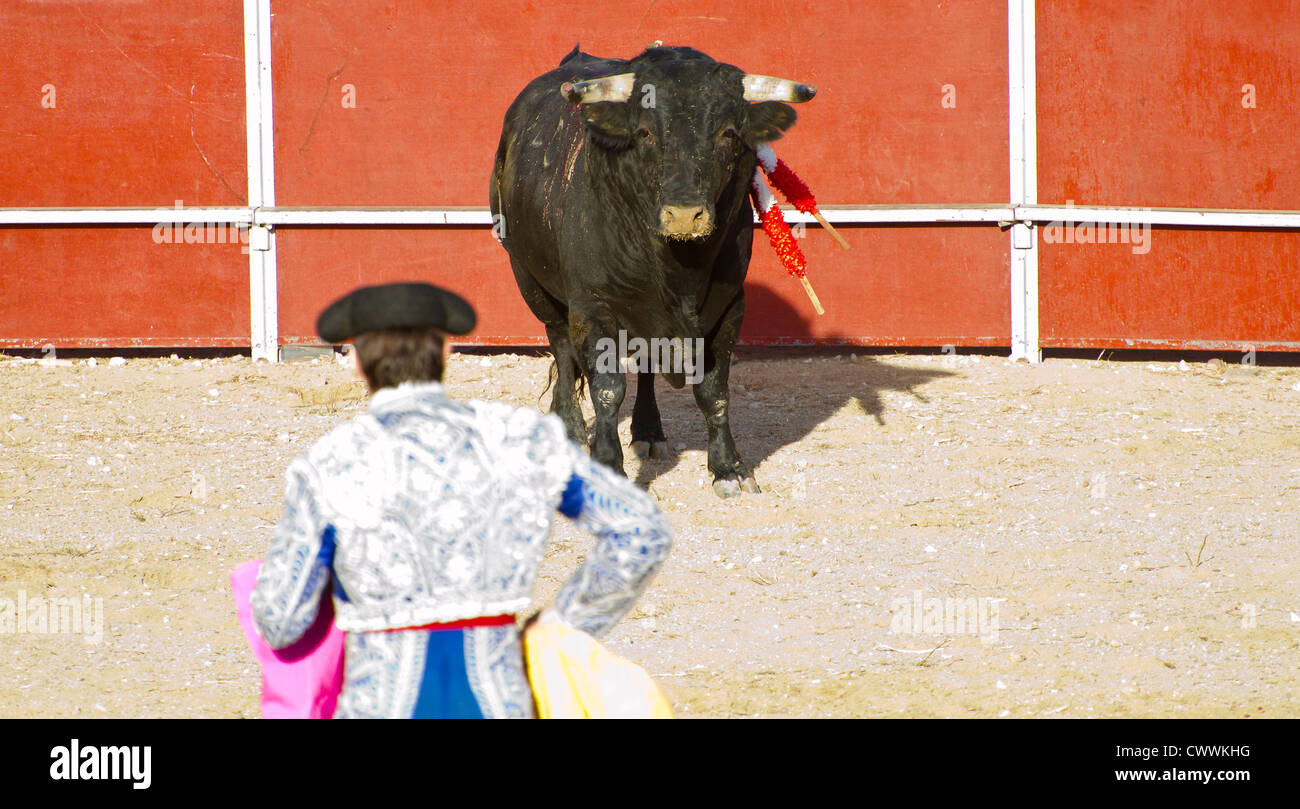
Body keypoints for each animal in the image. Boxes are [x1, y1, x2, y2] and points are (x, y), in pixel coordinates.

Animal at [490, 44, 815, 497]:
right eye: (644, 133)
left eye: (728, 133)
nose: (683, 215)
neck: (678, 267)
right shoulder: (593, 307)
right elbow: (607, 391)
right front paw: (607, 467)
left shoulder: (730, 305)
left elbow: (714, 390)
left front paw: (729, 468)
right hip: (529, 279)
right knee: (561, 347)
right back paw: (570, 430)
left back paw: (647, 431)